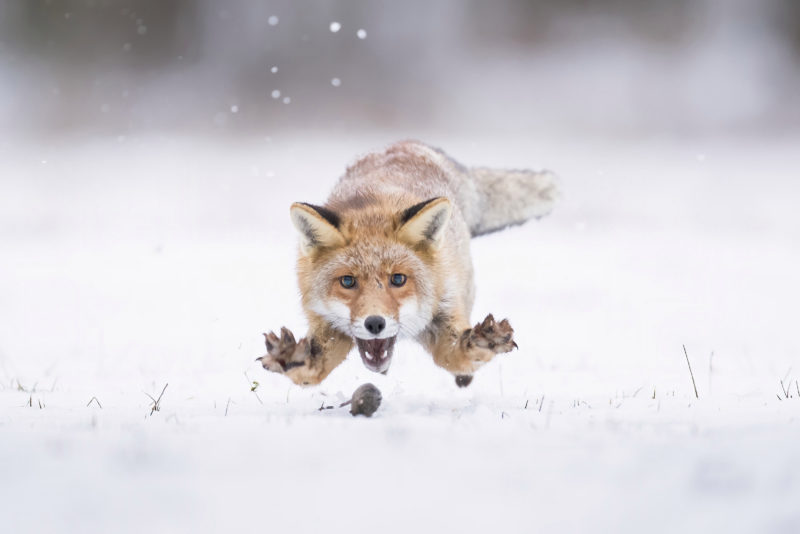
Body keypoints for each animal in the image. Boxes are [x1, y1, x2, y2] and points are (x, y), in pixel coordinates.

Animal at [258, 140, 557, 387]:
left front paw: (482, 343)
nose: (374, 324)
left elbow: (457, 355)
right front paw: (291, 357)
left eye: (398, 279)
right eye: (348, 281)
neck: (374, 206)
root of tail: (410, 144)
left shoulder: (443, 312)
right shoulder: (326, 323)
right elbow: (311, 370)